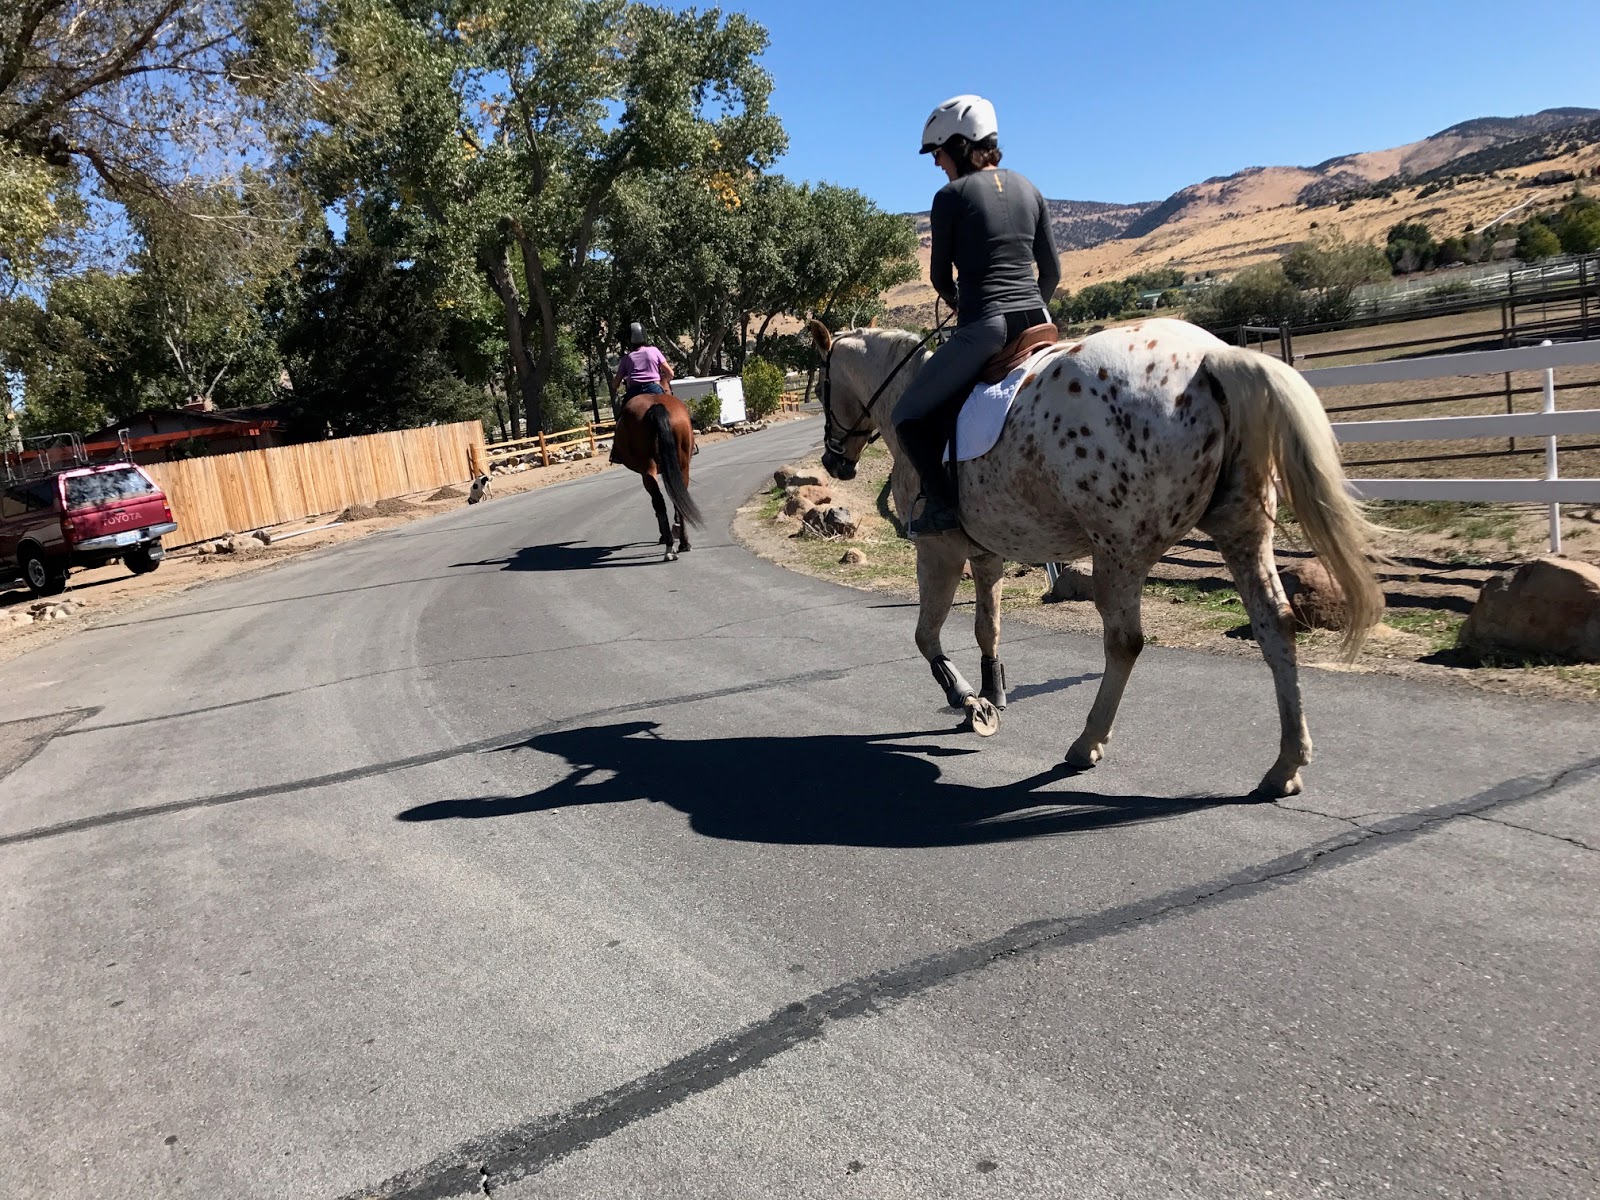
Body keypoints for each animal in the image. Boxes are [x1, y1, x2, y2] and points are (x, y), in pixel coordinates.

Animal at [609, 390, 703, 560]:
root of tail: (656, 407)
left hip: (648, 469)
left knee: (659, 500)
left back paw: (670, 544)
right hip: (682, 466)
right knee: (676, 499)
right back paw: (681, 543)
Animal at [808, 316, 1384, 798]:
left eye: (820, 388)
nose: (834, 463)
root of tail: (1212, 354)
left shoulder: (939, 550)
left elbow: (926, 635)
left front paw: (968, 701)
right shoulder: (989, 554)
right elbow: (987, 629)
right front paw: (995, 693)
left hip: (1118, 552)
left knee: (1125, 642)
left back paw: (1086, 744)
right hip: (1241, 532)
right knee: (1275, 626)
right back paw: (1286, 765)